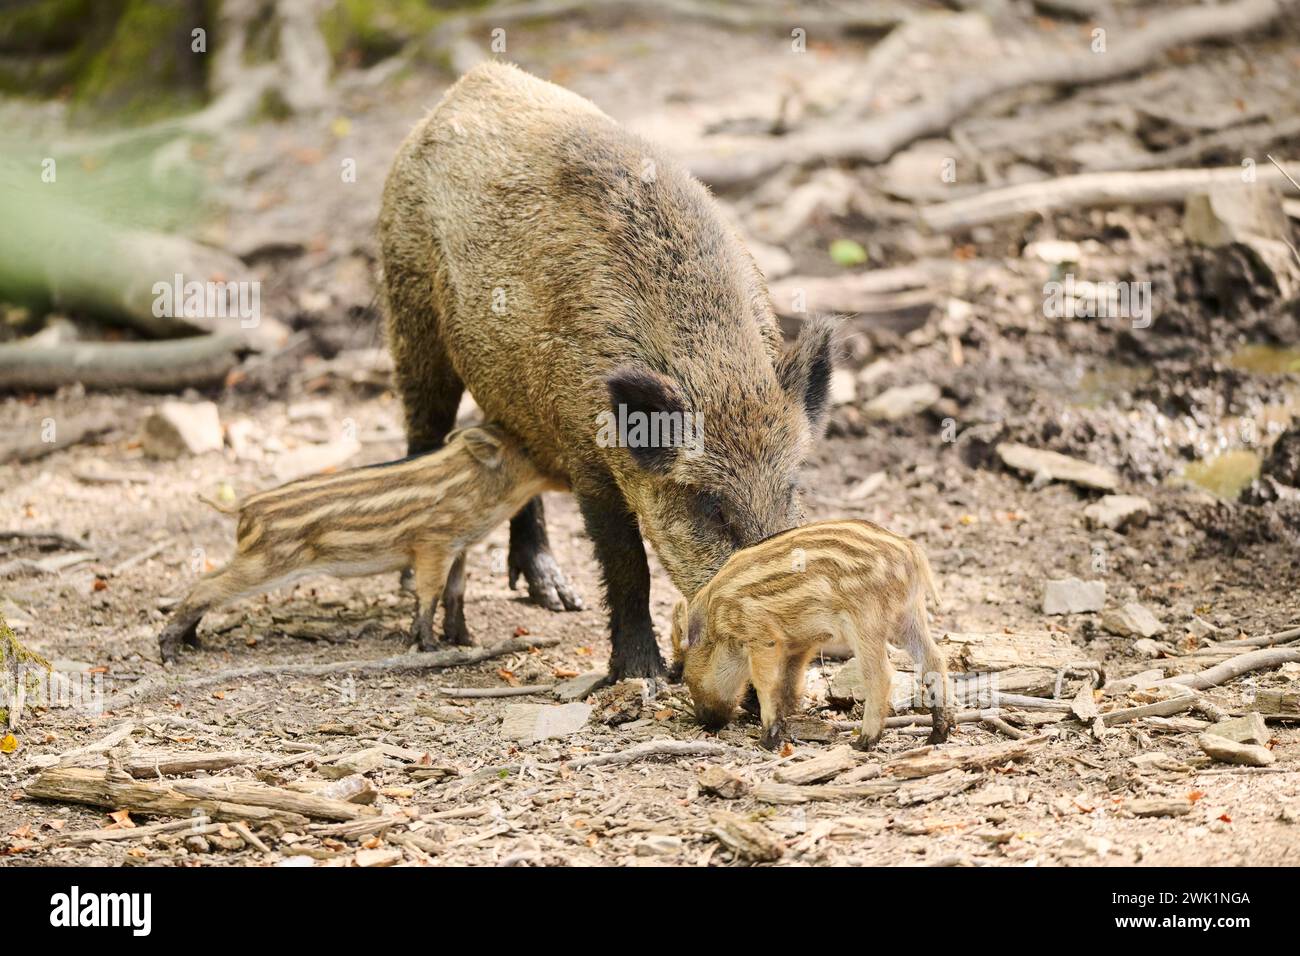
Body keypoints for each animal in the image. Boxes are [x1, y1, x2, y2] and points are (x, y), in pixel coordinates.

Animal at [156, 426, 560, 663]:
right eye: (528, 449)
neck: (472, 487)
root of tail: (243, 508)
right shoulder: (433, 544)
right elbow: (429, 594)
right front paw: (428, 647)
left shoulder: (457, 548)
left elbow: (455, 592)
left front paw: (465, 641)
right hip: (266, 562)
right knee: (207, 588)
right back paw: (171, 652)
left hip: (250, 557)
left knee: (204, 583)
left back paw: (193, 641)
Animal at [379, 62, 834, 679]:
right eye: (711, 506)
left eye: (789, 488)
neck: (715, 369)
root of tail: (469, 82)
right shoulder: (588, 453)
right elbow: (627, 565)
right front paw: (645, 676)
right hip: (411, 311)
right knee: (423, 430)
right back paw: (412, 578)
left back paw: (555, 596)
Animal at [669, 519, 955, 750]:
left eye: (686, 675)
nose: (706, 723)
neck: (716, 624)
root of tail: (911, 551)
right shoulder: (798, 642)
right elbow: (789, 679)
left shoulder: (761, 636)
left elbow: (766, 682)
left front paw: (767, 740)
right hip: (909, 616)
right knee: (934, 659)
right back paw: (938, 734)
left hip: (867, 622)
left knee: (880, 675)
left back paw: (863, 742)